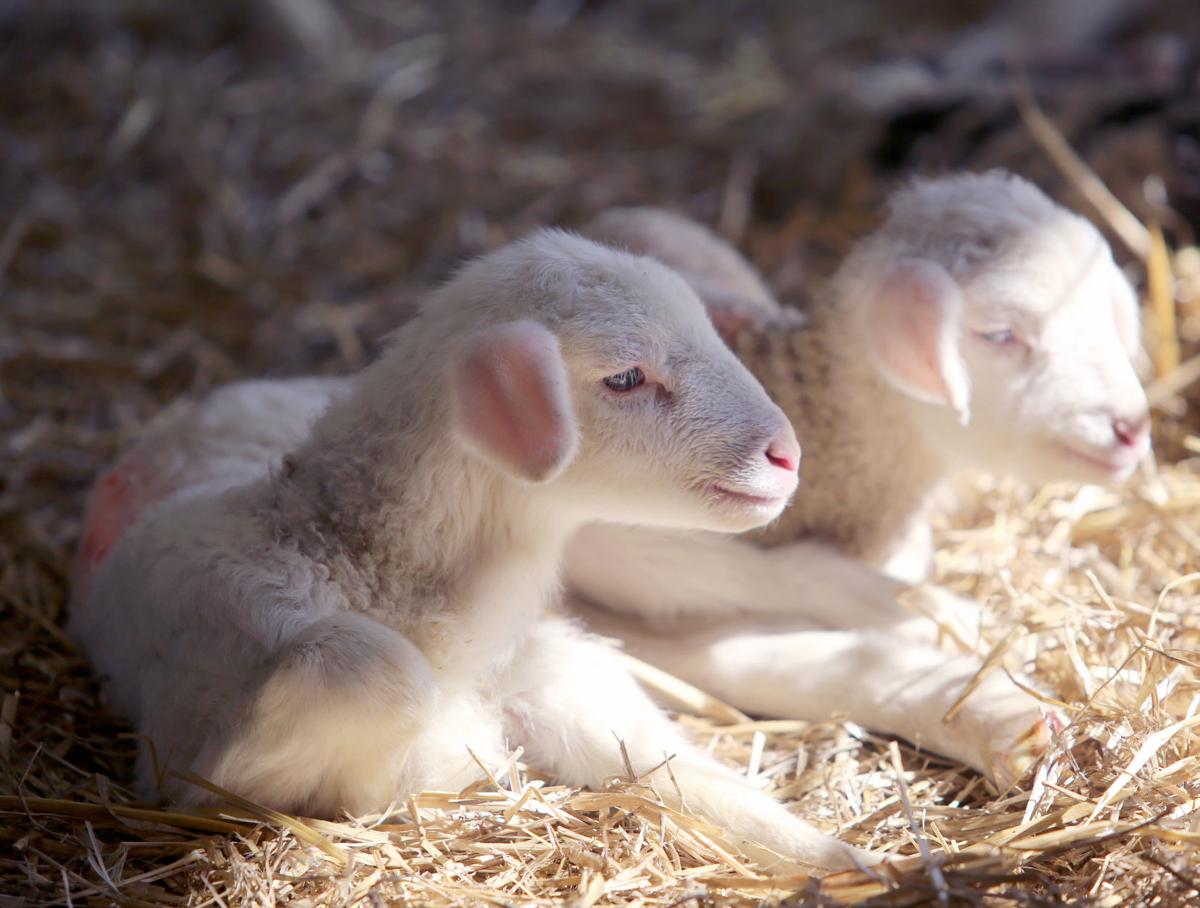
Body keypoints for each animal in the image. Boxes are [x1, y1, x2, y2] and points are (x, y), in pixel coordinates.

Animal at [71, 230, 872, 871]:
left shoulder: (562, 679)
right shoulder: (186, 768)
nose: (787, 455)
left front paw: (858, 864)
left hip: (633, 543)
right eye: (624, 376)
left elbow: (703, 781)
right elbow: (382, 685)